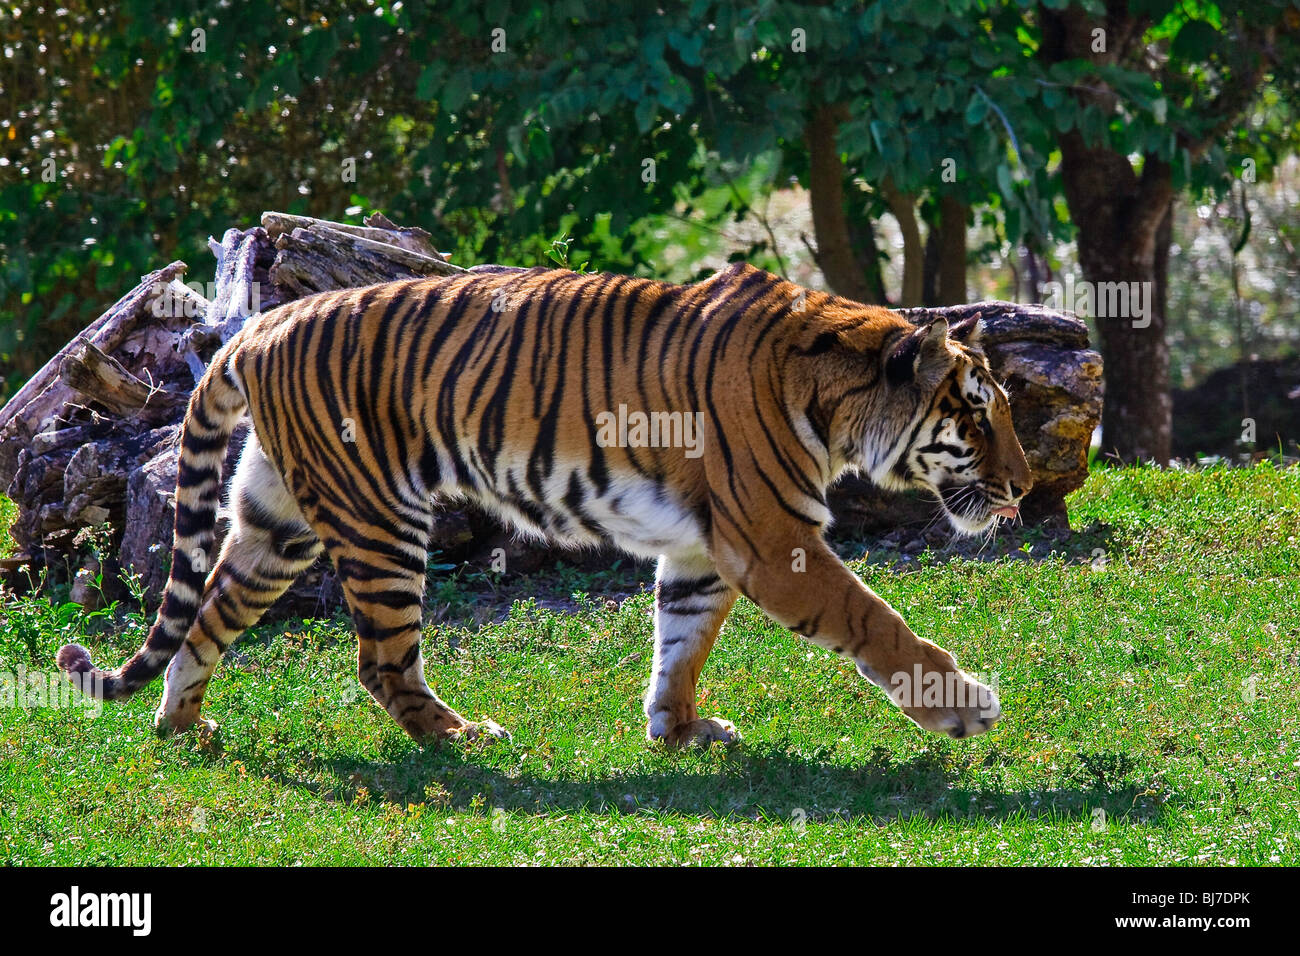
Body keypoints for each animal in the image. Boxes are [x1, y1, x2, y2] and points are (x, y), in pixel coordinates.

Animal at [57, 262, 1032, 748]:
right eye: (979, 414)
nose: (1023, 485)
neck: (835, 401)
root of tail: (258, 324)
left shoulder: (705, 548)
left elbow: (681, 642)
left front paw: (678, 731)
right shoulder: (775, 541)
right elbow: (876, 623)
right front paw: (965, 707)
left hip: (278, 520)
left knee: (205, 615)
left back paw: (183, 727)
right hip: (381, 523)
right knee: (381, 663)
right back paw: (463, 737)